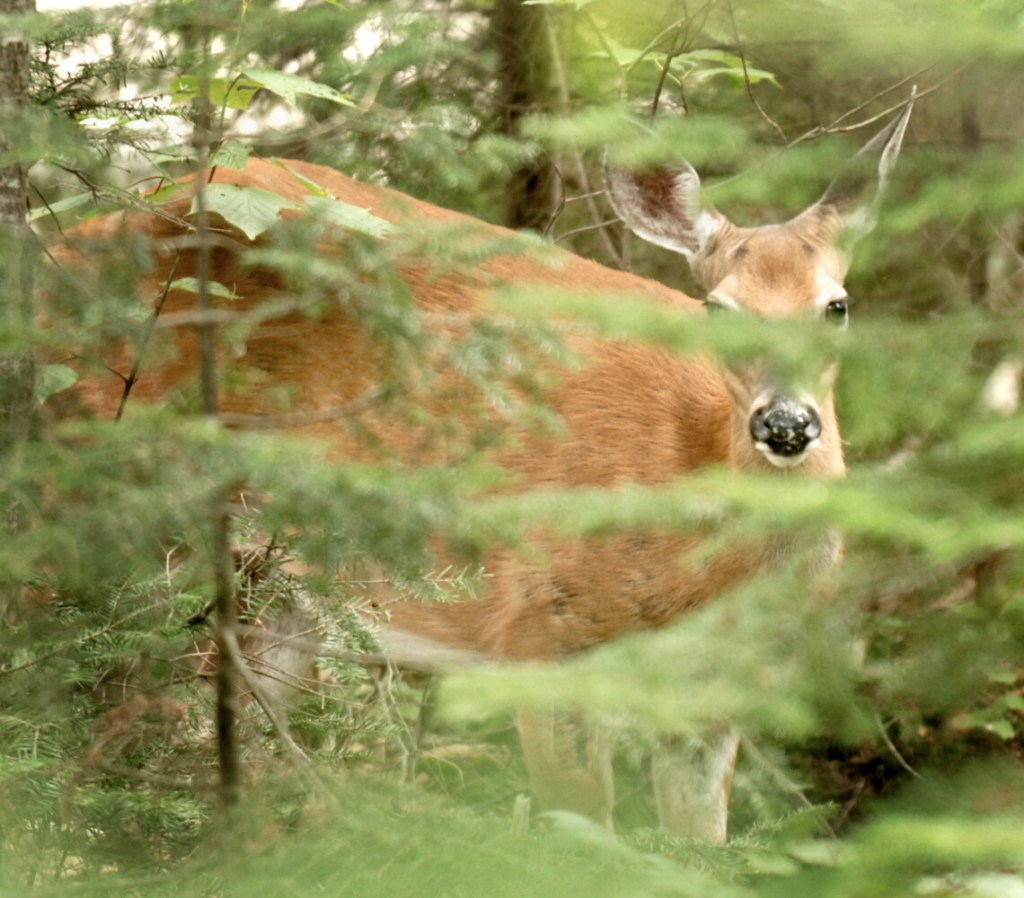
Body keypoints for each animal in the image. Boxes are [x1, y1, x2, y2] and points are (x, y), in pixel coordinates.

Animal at [46, 97, 913, 843]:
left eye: (836, 305)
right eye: (717, 309)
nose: (786, 424)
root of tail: (59, 242)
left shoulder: (714, 693)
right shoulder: (541, 635)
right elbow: (584, 839)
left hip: (276, 584)